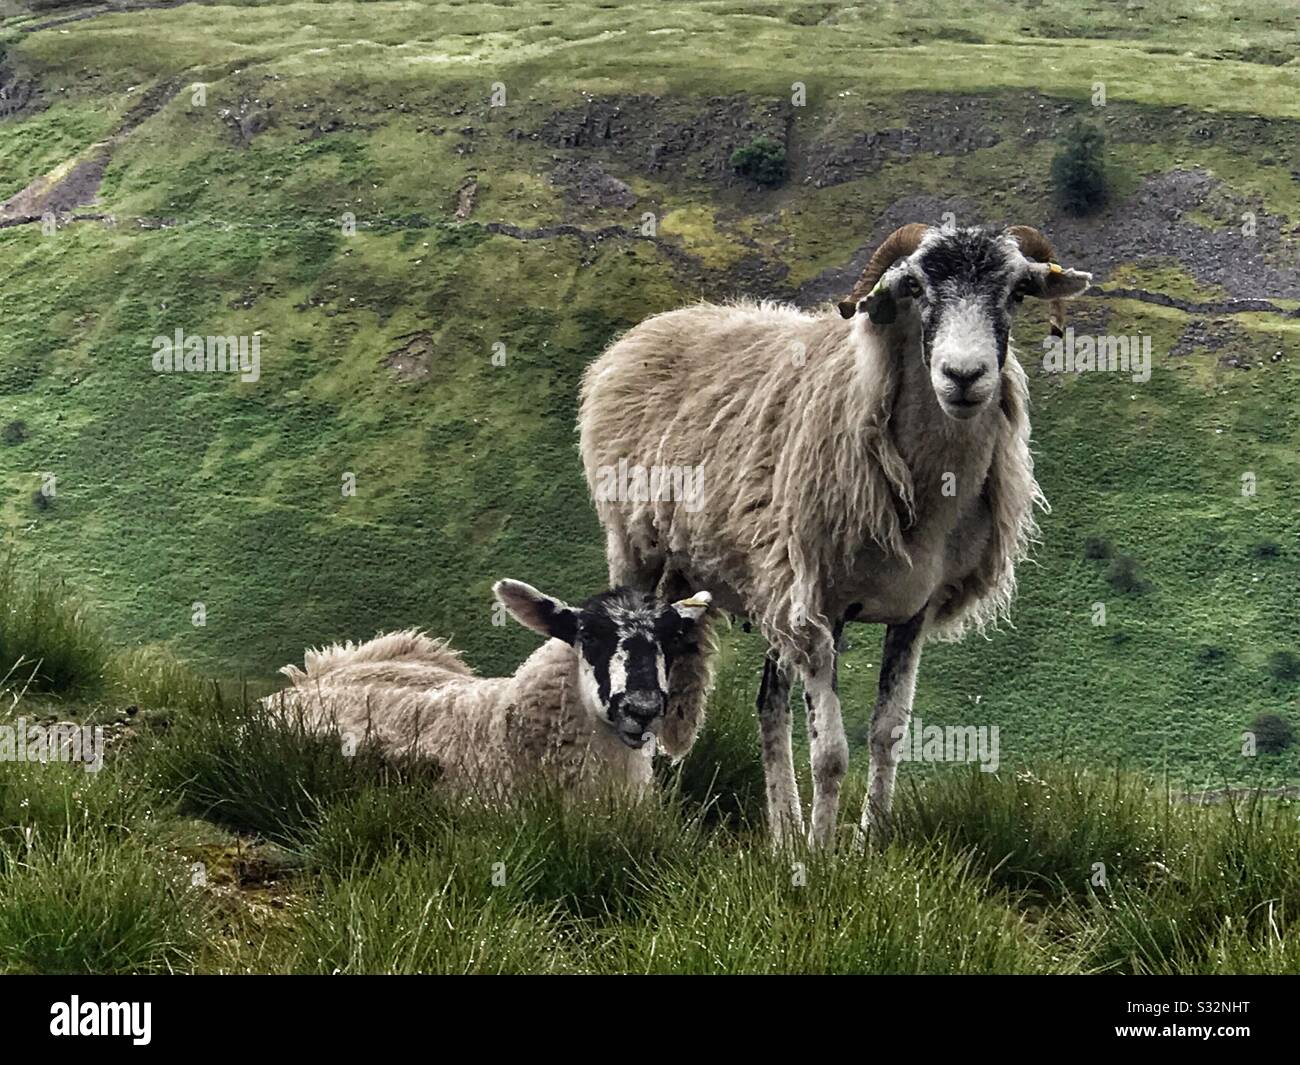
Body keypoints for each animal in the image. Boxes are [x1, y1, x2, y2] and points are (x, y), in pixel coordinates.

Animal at [579, 223, 1091, 847]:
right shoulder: (820, 606)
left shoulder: (910, 610)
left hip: (766, 585)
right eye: (915, 287)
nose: (964, 377)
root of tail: (650, 328)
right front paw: (824, 856)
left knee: (767, 704)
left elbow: (886, 734)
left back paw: (782, 835)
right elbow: (830, 753)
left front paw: (870, 843)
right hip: (641, 552)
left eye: (1016, 292)